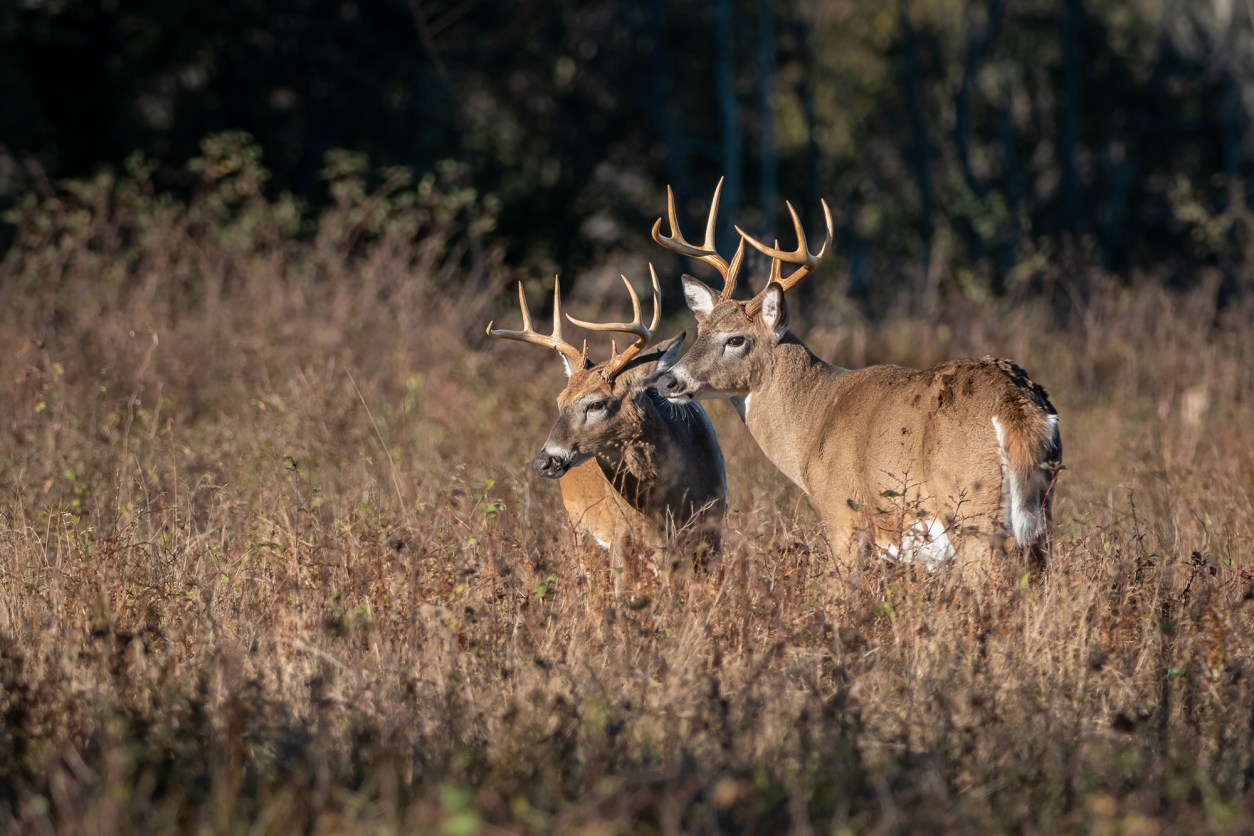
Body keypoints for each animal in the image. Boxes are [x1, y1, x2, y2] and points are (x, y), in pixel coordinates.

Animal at [486, 268, 727, 580]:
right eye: (559, 401)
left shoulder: (712, 528)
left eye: (596, 404)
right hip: (578, 523)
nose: (544, 461)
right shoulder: (622, 531)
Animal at [651, 181, 1062, 571]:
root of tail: (1014, 403)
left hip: (972, 506)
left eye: (736, 338)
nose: (668, 381)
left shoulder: (842, 514)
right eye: (700, 331)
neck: (813, 419)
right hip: (1041, 510)